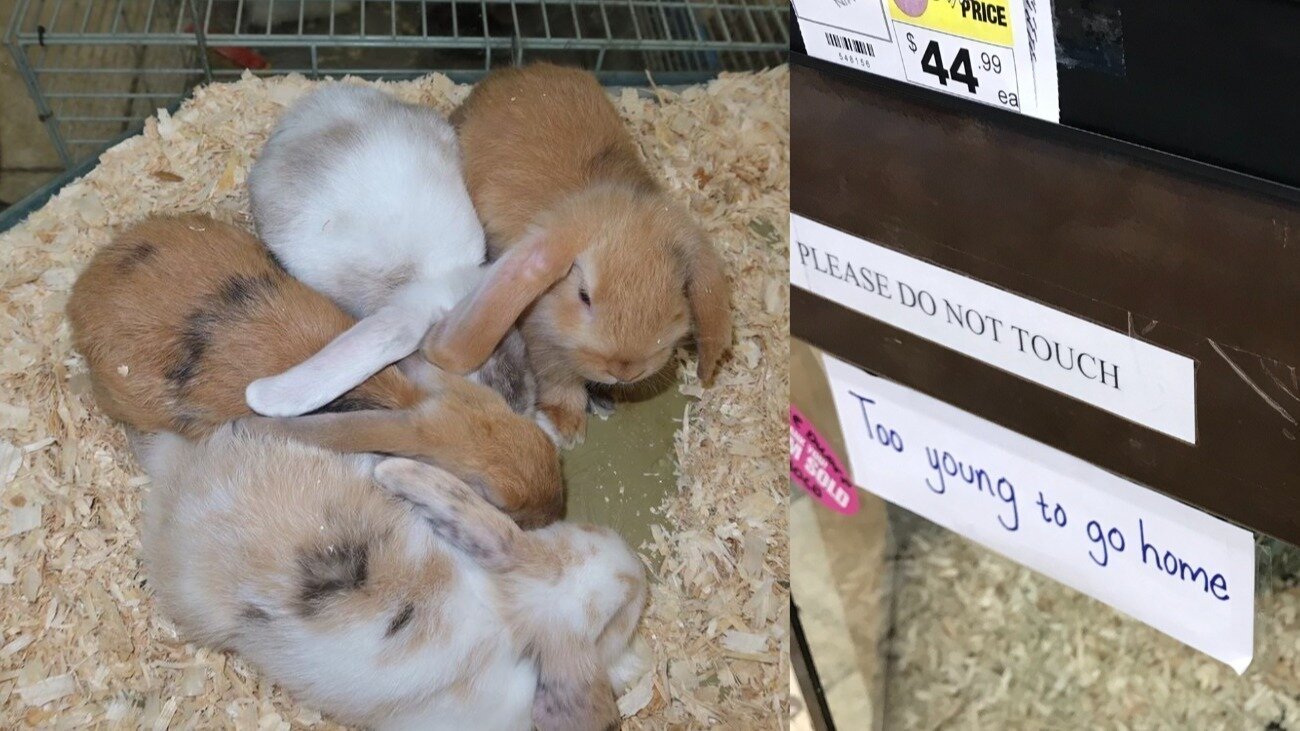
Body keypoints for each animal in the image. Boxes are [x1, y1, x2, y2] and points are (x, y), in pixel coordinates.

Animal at [424, 63, 733, 447]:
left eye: (678, 296)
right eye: (584, 296)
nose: (625, 370)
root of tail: (516, 69)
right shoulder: (542, 345)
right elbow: (559, 383)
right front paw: (565, 428)